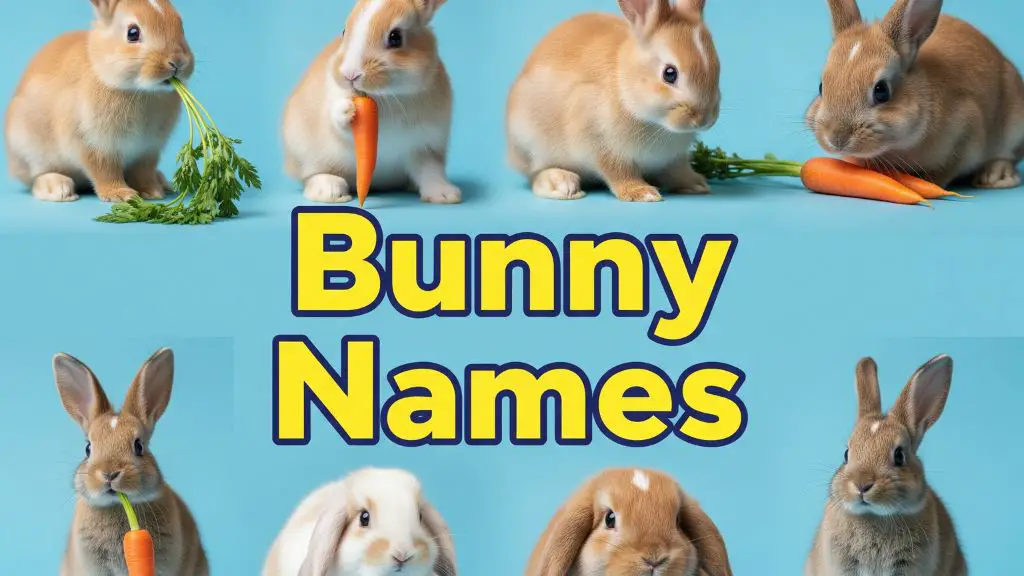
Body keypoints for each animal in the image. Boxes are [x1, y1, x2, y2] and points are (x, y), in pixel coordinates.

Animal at [5, 0, 194, 203]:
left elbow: (143, 172)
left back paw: (163, 183)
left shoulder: (147, 150)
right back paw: (59, 189)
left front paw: (152, 192)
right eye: (132, 33)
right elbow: (105, 172)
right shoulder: (95, 145)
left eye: (181, 27)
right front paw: (121, 195)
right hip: (29, 150)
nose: (177, 62)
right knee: (35, 178)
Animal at [282, 0, 460, 205]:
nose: (350, 75)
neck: (387, 96)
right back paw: (331, 190)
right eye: (344, 31)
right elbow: (337, 122)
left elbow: (431, 172)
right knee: (311, 176)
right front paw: (348, 110)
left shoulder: (426, 147)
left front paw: (446, 195)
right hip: (304, 151)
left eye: (395, 37)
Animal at [506, 0, 720, 203]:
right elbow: (619, 173)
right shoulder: (602, 147)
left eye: (717, 67)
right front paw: (642, 193)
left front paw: (696, 184)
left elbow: (677, 172)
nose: (704, 120)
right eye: (669, 73)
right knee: (535, 175)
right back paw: (563, 185)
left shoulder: (673, 159)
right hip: (529, 143)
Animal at [807, 0, 1024, 189]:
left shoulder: (967, 130)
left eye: (881, 90)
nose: (836, 139)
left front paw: (928, 182)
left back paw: (996, 177)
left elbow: (946, 169)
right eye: (821, 87)